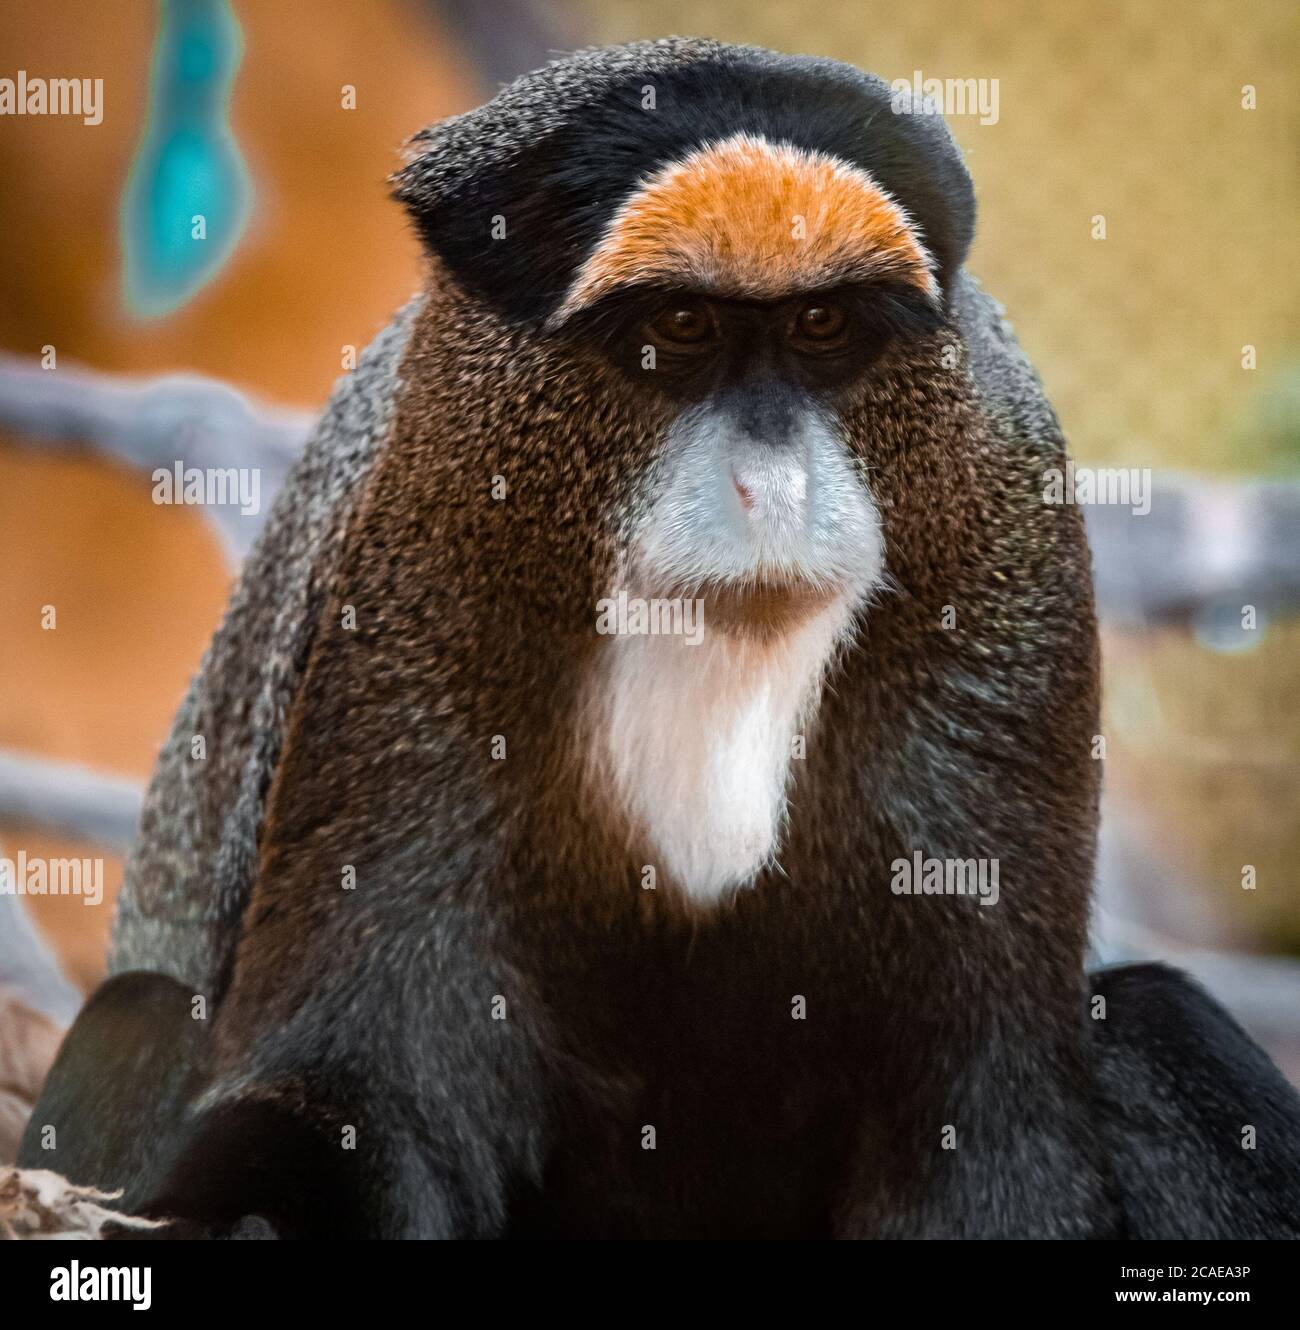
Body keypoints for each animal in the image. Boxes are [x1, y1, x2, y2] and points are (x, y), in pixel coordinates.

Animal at [19, 37, 1300, 1239]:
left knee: (1154, 1022)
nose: (771, 487)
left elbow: (985, 1121)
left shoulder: (1003, 532)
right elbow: (358, 1091)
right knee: (136, 1016)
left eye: (821, 321)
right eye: (681, 324)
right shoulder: (423, 550)